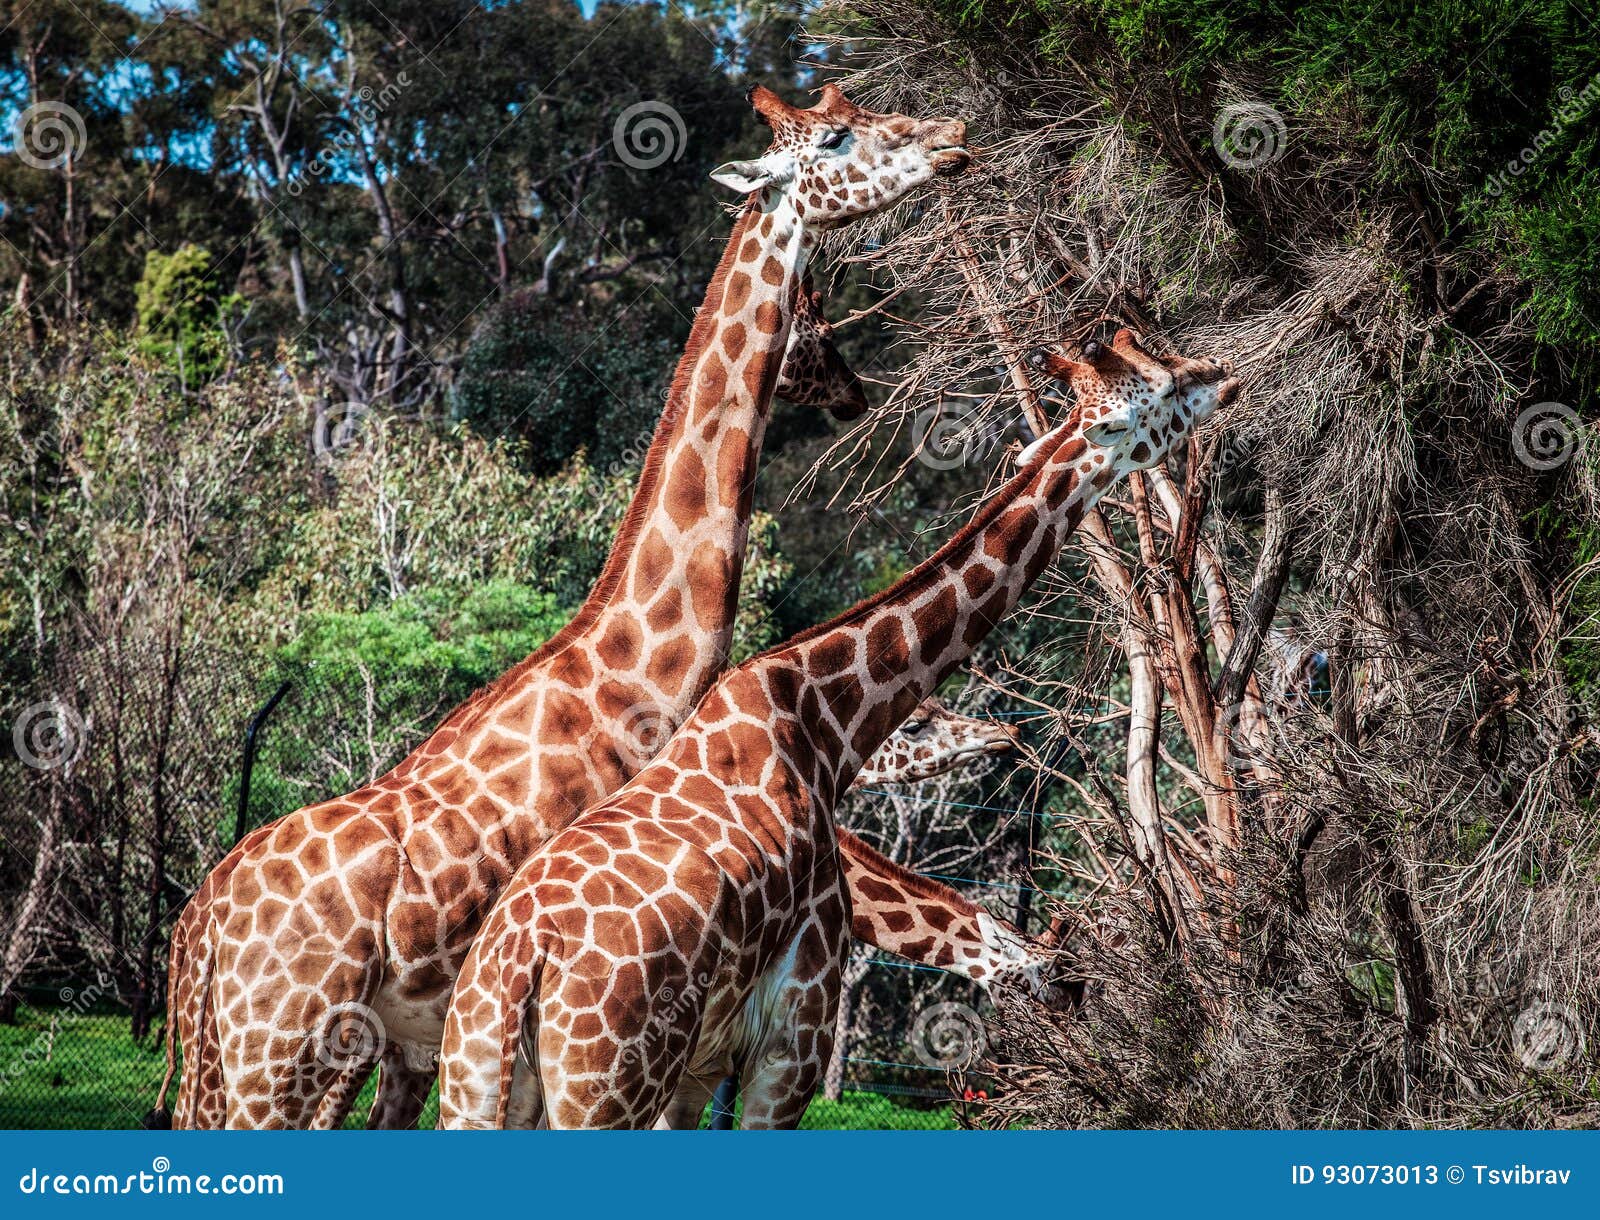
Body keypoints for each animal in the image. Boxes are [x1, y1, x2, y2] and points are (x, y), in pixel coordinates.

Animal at [187, 84, 971, 1130]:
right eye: (840, 136)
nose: (952, 140)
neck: (634, 668)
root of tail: (207, 921)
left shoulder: (430, 1044)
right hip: (288, 1050)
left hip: (260, 1052)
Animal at [436, 329, 1240, 1129]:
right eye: (1161, 394)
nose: (1222, 375)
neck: (826, 725)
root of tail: (521, 967)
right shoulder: (794, 1035)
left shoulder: (705, 1068)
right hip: (604, 1090)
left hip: (475, 1080)